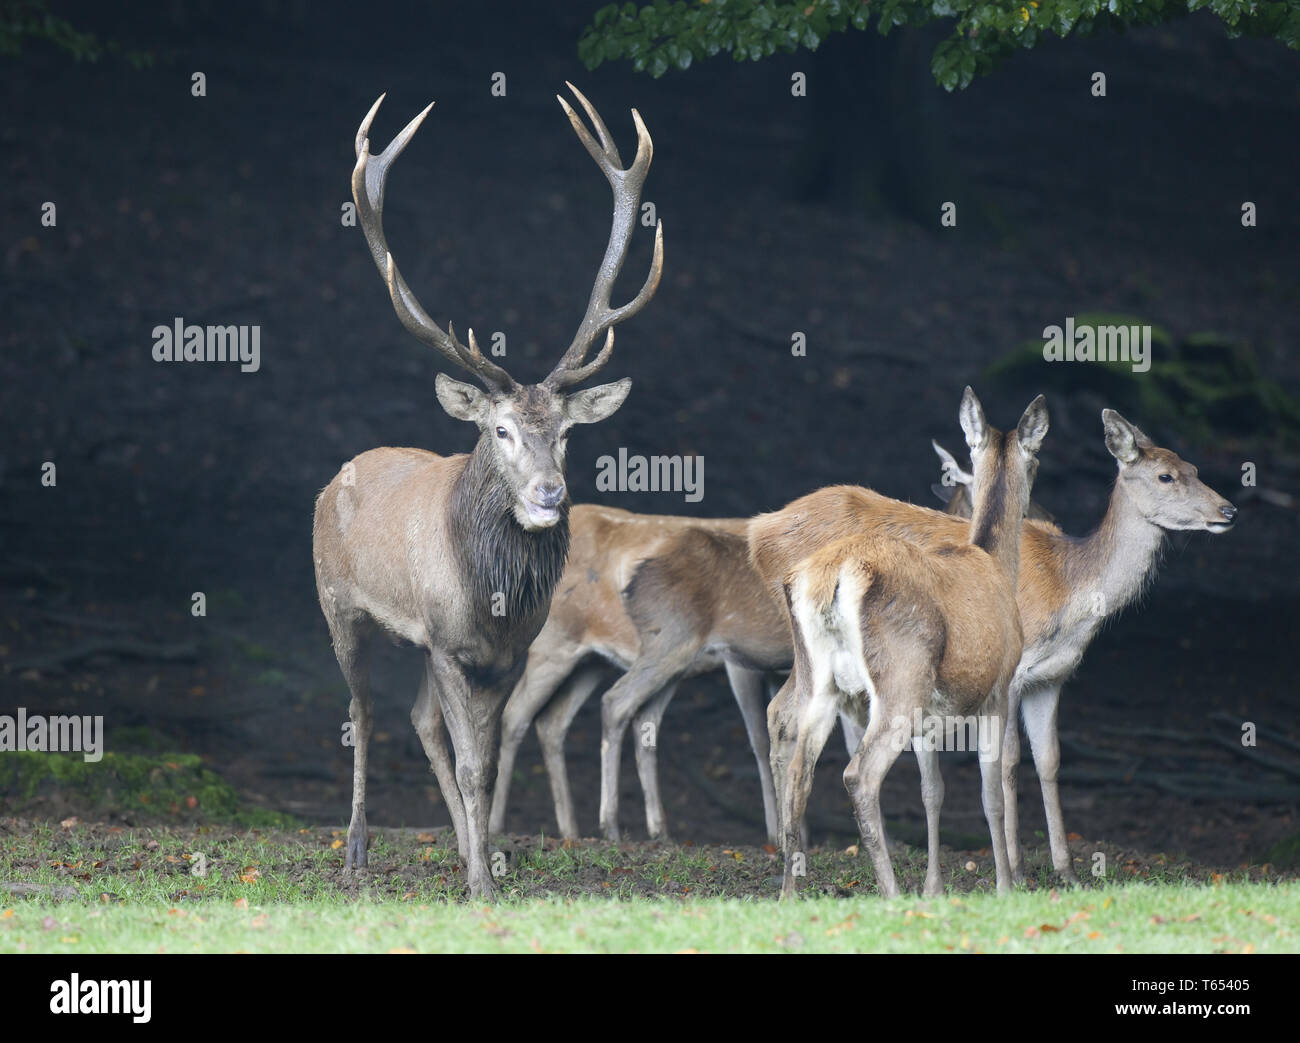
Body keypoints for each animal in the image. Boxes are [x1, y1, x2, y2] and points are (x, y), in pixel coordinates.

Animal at [312, 83, 663, 899]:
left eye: (566, 433)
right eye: (500, 429)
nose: (549, 496)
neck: (493, 598)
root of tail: (335, 477)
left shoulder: (507, 651)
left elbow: (492, 752)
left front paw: (487, 859)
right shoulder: (448, 640)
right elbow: (473, 759)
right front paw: (482, 882)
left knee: (420, 721)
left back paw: (456, 845)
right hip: (341, 605)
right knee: (363, 711)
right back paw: (355, 851)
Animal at [750, 389, 1049, 899]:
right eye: (1037, 463)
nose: (1042, 513)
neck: (995, 563)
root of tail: (829, 575)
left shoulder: (931, 713)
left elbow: (933, 792)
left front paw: (935, 887)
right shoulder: (999, 687)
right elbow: (991, 793)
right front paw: (1005, 886)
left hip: (824, 676)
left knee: (795, 758)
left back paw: (790, 890)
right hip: (899, 675)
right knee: (858, 774)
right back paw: (889, 891)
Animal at [922, 414, 1236, 884]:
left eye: (1195, 469)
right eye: (1165, 475)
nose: (1228, 510)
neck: (1067, 593)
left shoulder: (1053, 675)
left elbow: (1050, 760)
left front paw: (1066, 871)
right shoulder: (1010, 675)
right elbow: (1010, 763)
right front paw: (1016, 869)